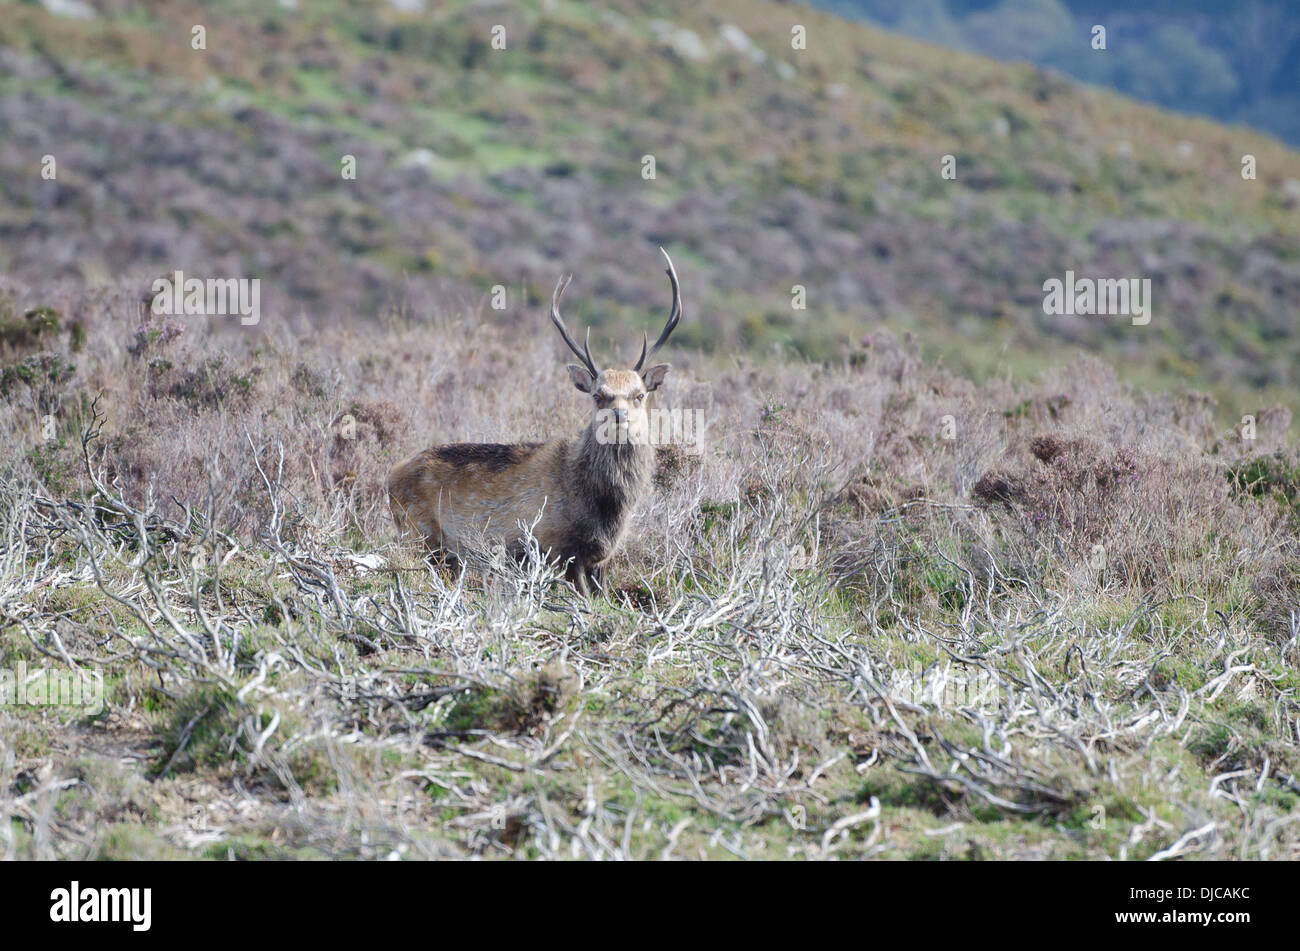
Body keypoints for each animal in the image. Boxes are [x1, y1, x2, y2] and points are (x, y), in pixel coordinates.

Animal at [388, 249, 684, 598]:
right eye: (598, 395)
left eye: (639, 395)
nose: (619, 415)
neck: (606, 511)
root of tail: (391, 475)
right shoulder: (558, 549)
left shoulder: (601, 560)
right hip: (421, 534)